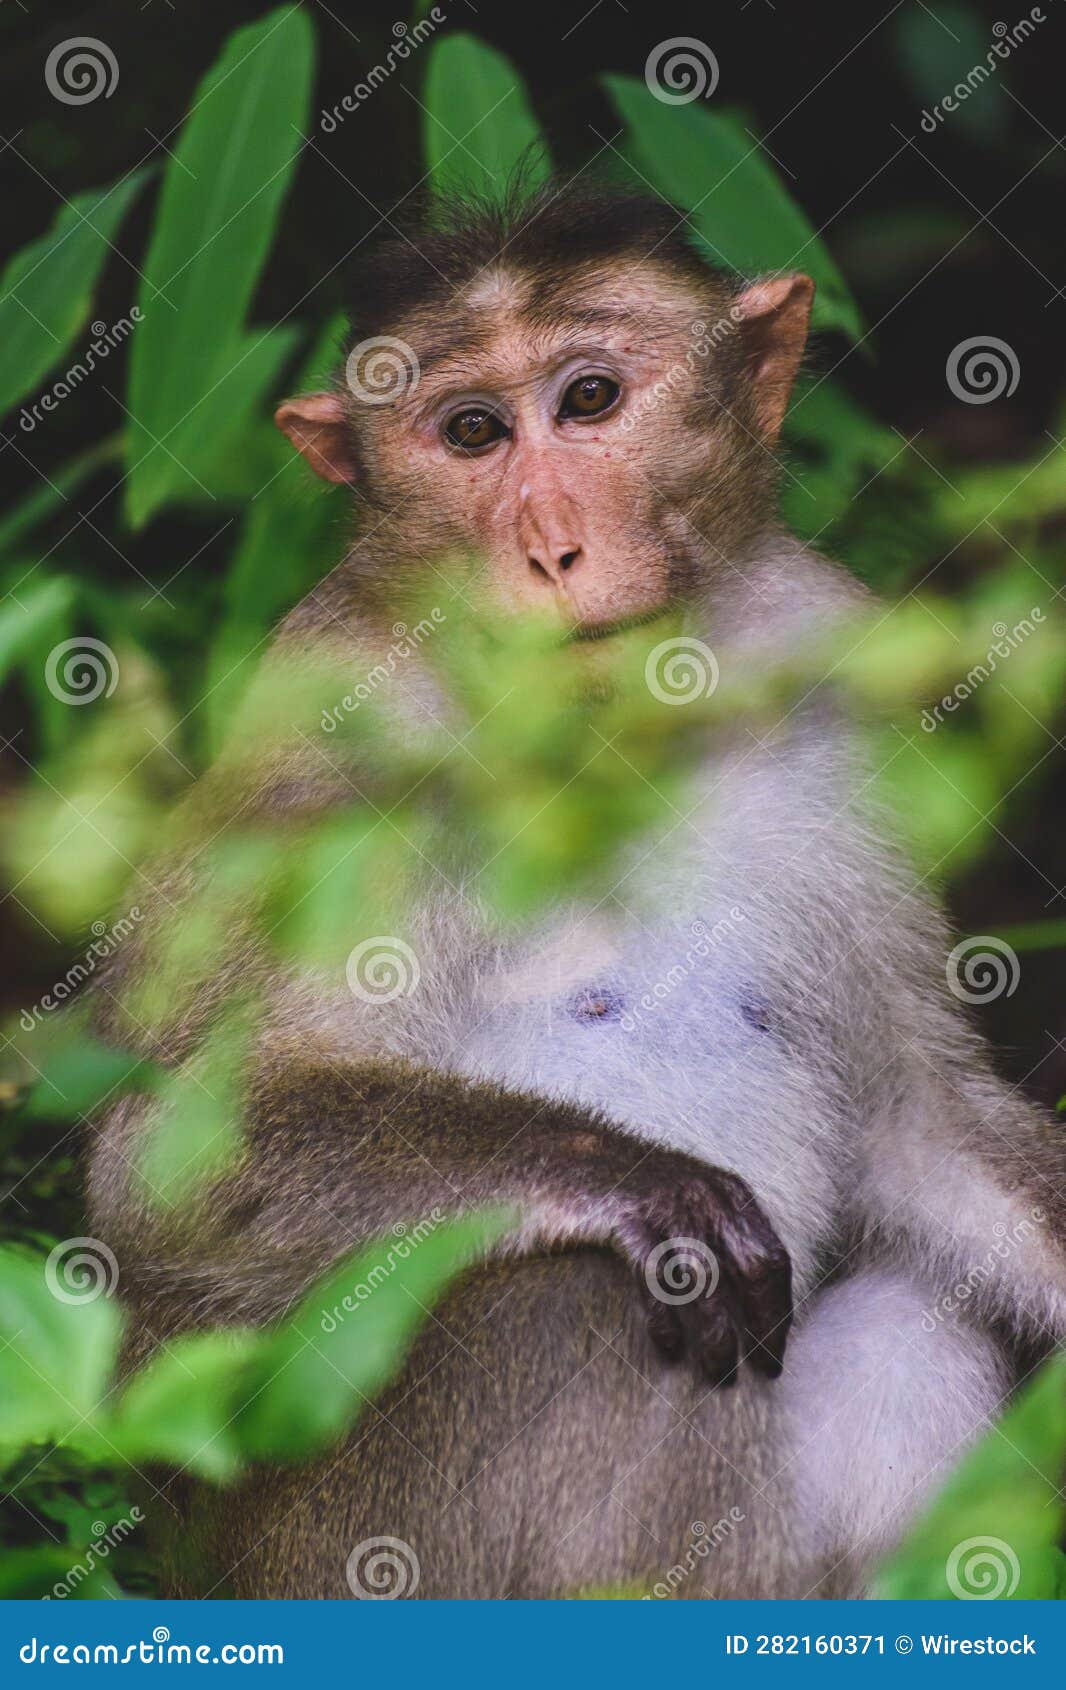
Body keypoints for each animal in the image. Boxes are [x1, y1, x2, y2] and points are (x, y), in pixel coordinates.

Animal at [86, 183, 1065, 1601]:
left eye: (591, 399)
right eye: (472, 432)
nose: (551, 547)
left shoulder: (823, 641)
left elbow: (915, 1111)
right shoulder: (329, 734)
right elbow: (167, 1160)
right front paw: (647, 1188)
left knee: (911, 1307)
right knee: (593, 1290)